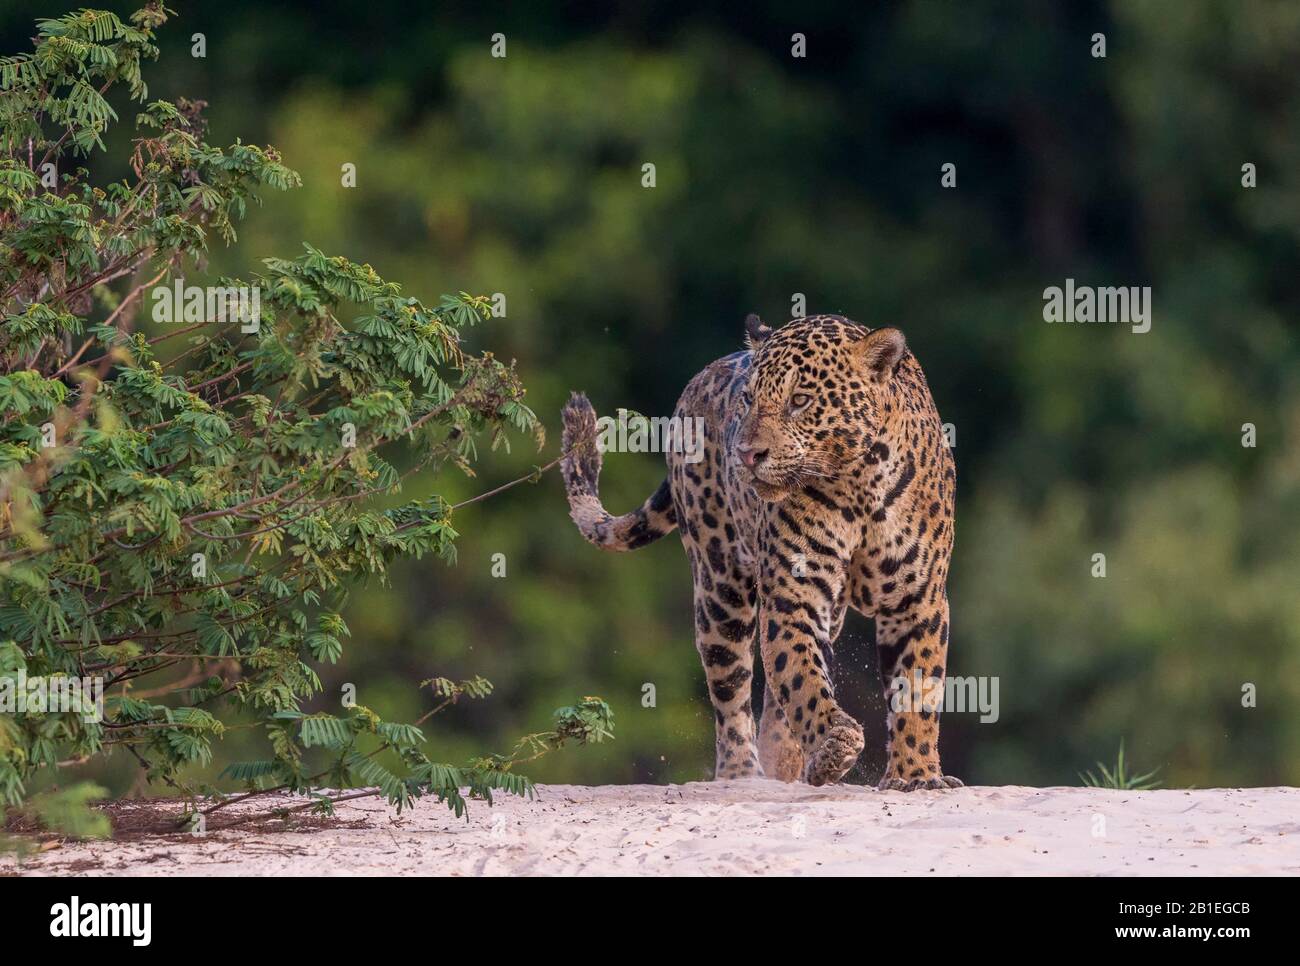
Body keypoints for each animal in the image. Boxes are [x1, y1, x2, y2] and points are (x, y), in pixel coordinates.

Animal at [560, 313, 962, 790]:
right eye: (749, 400)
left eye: (800, 400)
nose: (748, 454)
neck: (858, 484)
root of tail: (697, 381)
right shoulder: (794, 593)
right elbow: (800, 676)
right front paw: (834, 744)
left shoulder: (915, 599)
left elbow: (916, 690)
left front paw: (916, 775)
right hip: (720, 588)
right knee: (733, 687)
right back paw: (744, 773)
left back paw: (787, 762)